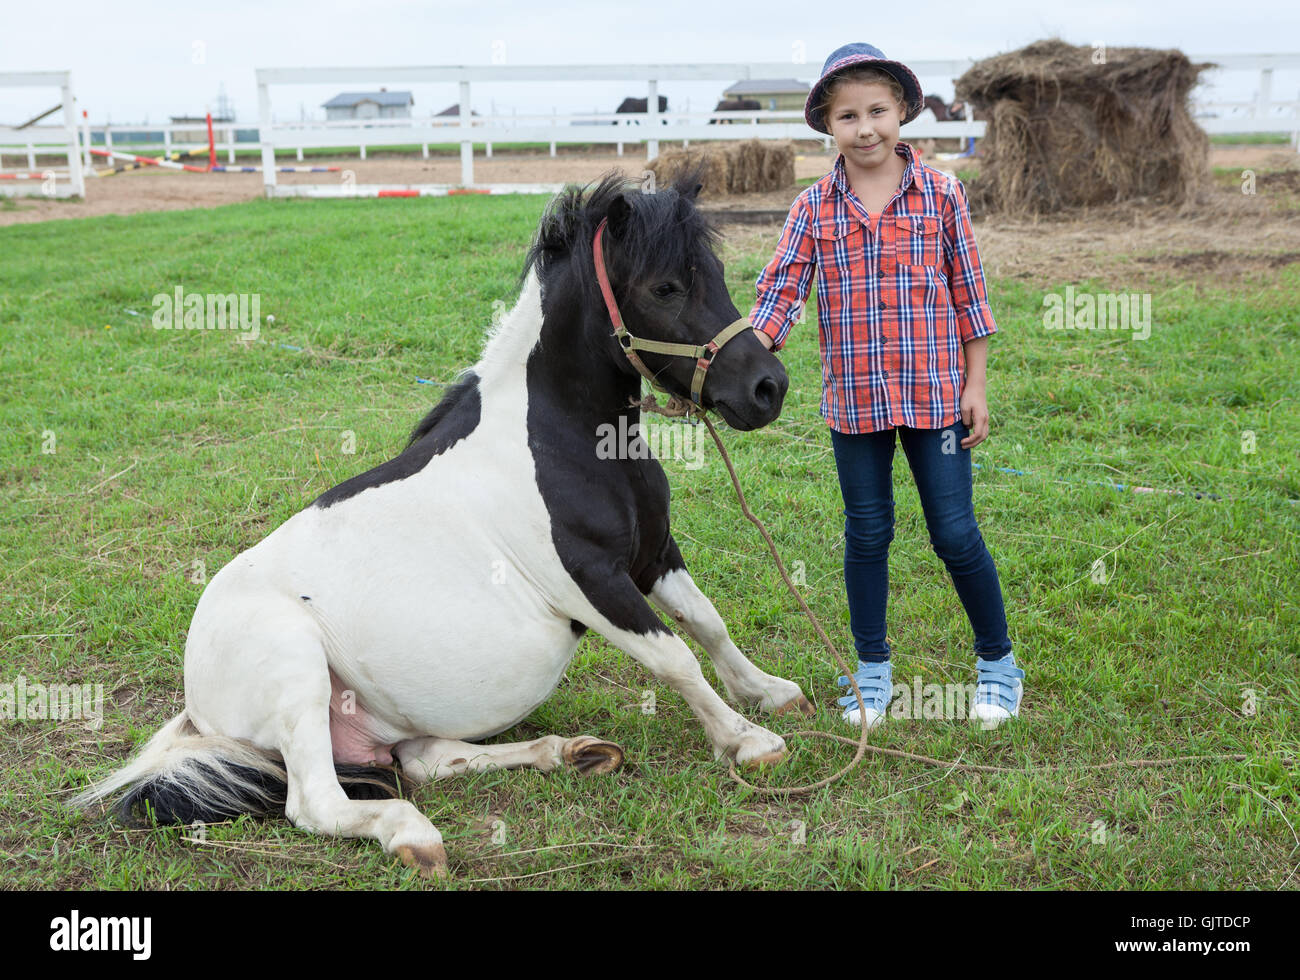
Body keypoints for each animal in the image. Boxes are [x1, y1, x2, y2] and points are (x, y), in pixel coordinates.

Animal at [71, 167, 812, 878]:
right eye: (664, 287)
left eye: (716, 272)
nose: (767, 387)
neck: (560, 440)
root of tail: (197, 704)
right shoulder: (592, 582)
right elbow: (674, 657)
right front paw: (746, 741)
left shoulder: (654, 554)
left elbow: (708, 623)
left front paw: (770, 694)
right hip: (298, 671)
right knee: (317, 803)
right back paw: (413, 835)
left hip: (382, 721)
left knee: (428, 760)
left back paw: (572, 752)